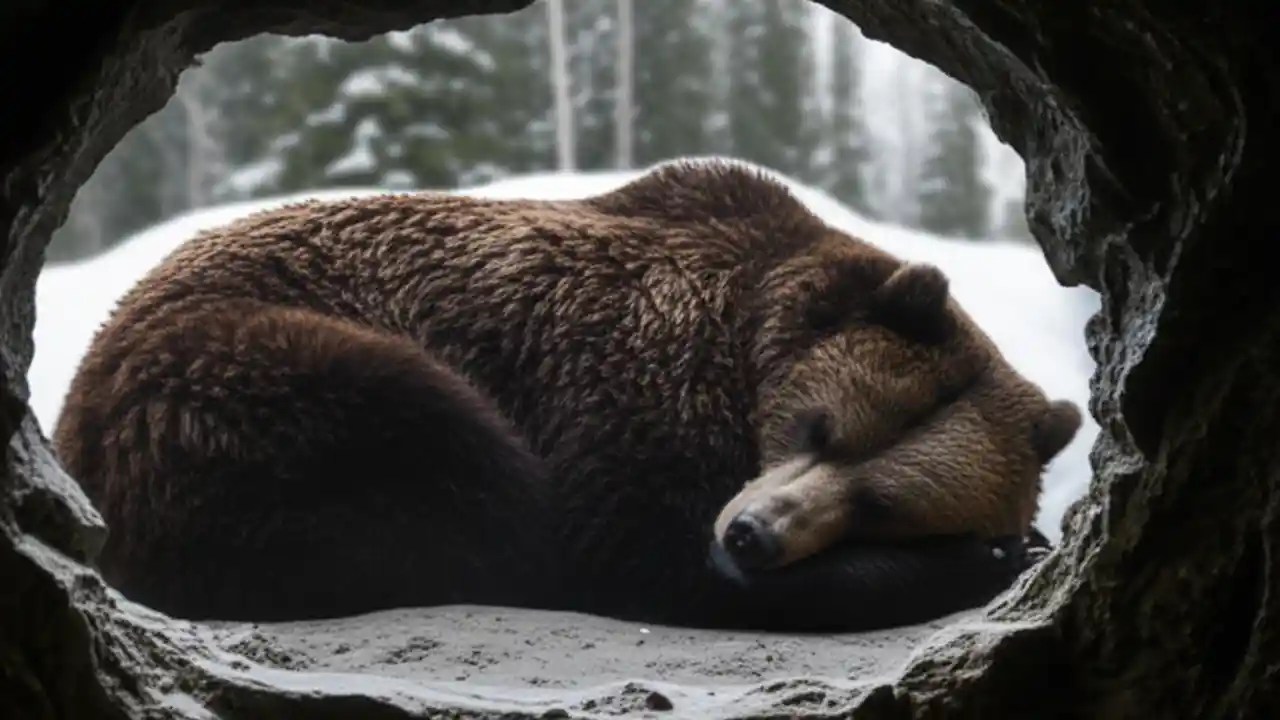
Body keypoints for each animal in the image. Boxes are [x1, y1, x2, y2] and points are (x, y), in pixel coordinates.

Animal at [52, 159, 1082, 633]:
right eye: (819, 425)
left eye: (884, 503)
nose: (751, 532)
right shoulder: (628, 367)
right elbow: (625, 547)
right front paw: (990, 556)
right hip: (248, 371)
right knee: (462, 463)